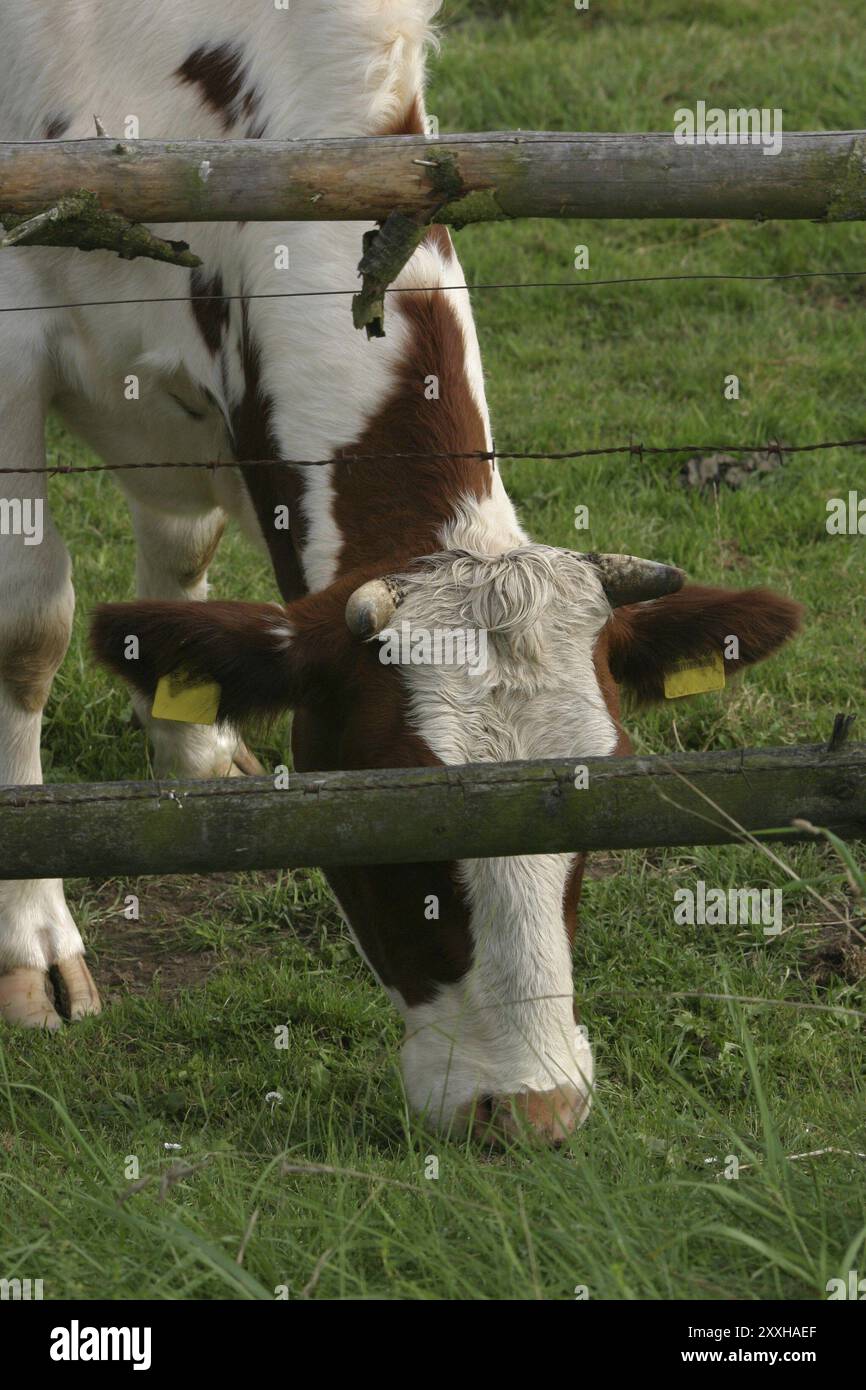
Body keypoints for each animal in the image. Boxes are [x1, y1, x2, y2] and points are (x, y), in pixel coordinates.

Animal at [0, 0, 801, 1140]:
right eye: (396, 836)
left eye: (596, 829)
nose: (534, 1108)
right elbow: (30, 623)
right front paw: (33, 940)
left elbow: (178, 570)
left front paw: (193, 753)